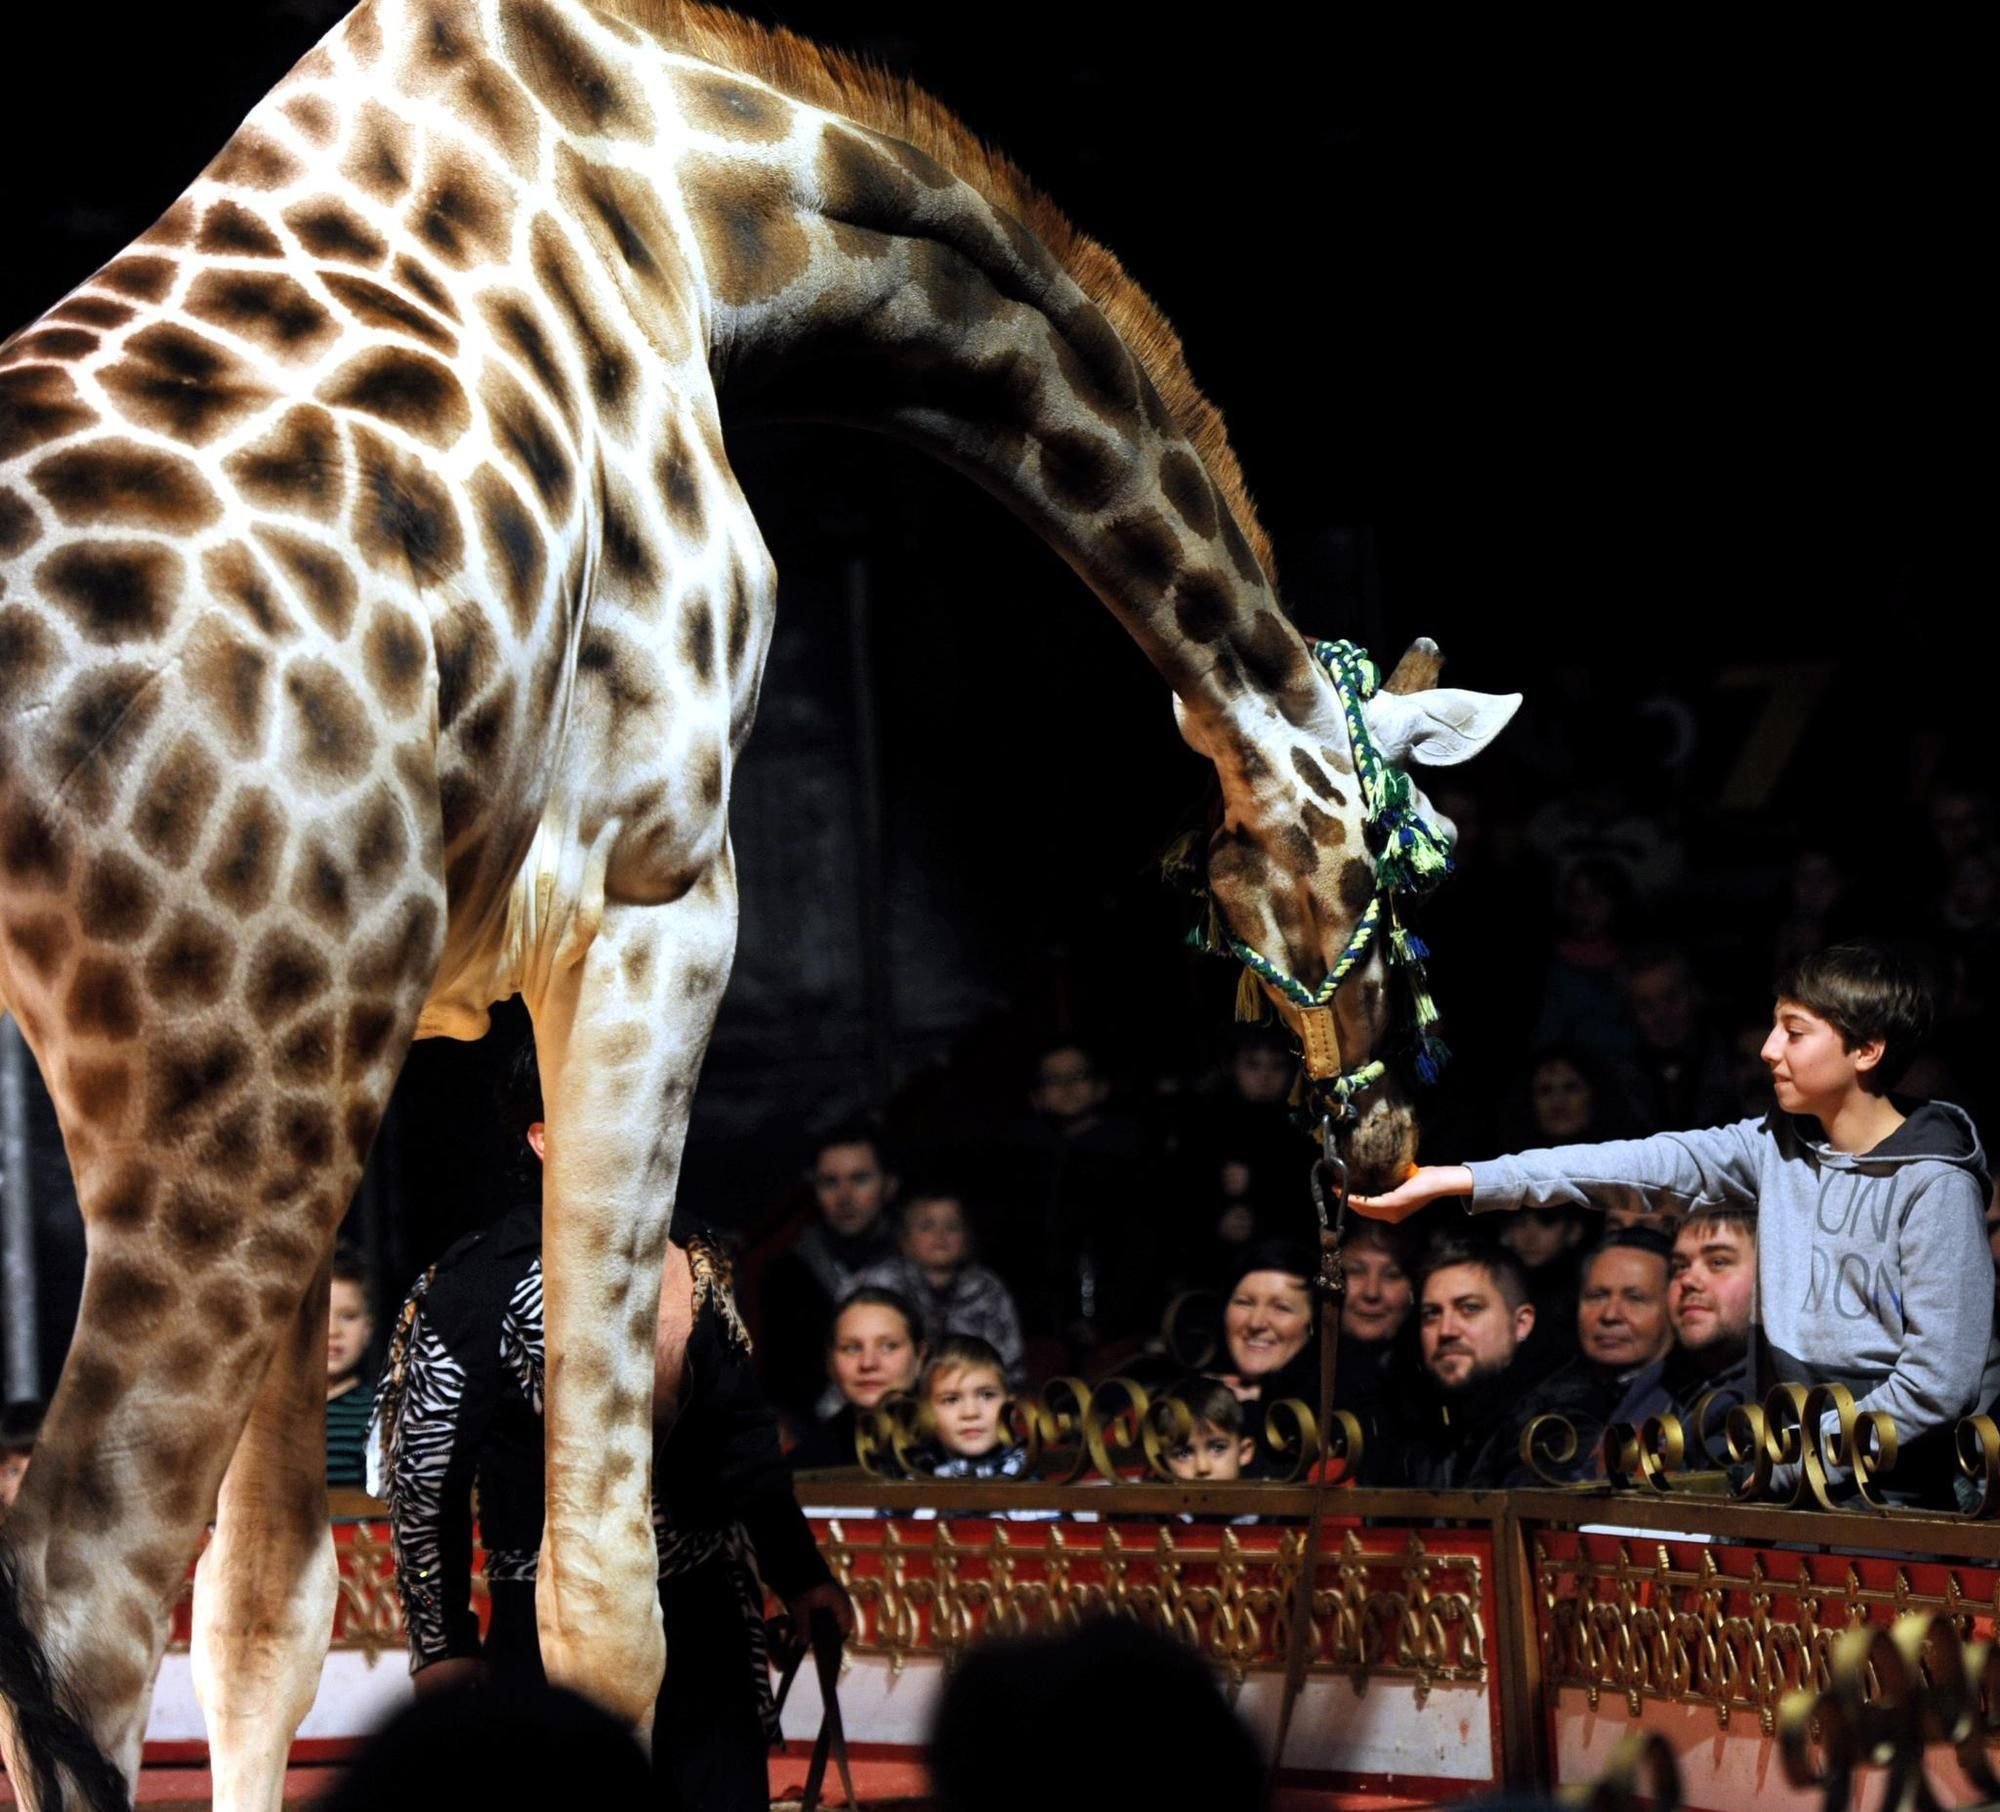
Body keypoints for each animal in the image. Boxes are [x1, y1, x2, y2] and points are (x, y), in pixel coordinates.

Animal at [0, 0, 1518, 1804]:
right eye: (1407, 855)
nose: (1379, 1142)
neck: (708, 220)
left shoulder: (368, 1014)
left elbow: (269, 1614)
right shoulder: (654, 900)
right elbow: (602, 1597)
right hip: (225, 1087)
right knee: (82, 1599)